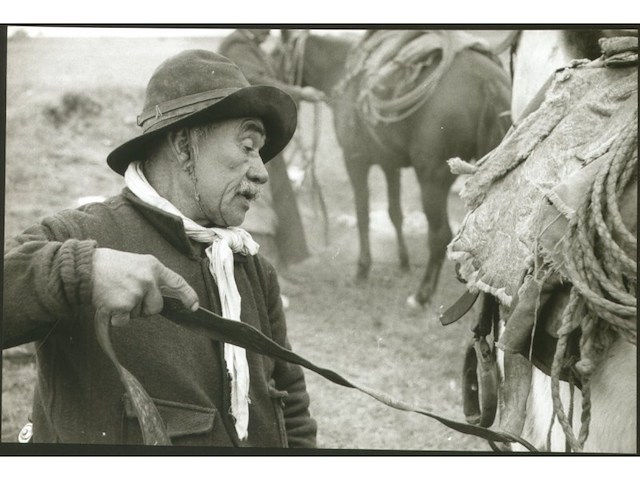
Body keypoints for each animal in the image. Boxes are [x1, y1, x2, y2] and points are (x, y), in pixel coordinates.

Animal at [278, 30, 512, 306]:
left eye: (276, 53)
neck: (341, 69)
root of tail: (488, 83)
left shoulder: (355, 161)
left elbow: (363, 214)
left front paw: (363, 269)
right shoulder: (390, 164)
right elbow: (395, 212)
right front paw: (403, 262)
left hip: (431, 179)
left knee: (439, 234)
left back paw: (422, 294)